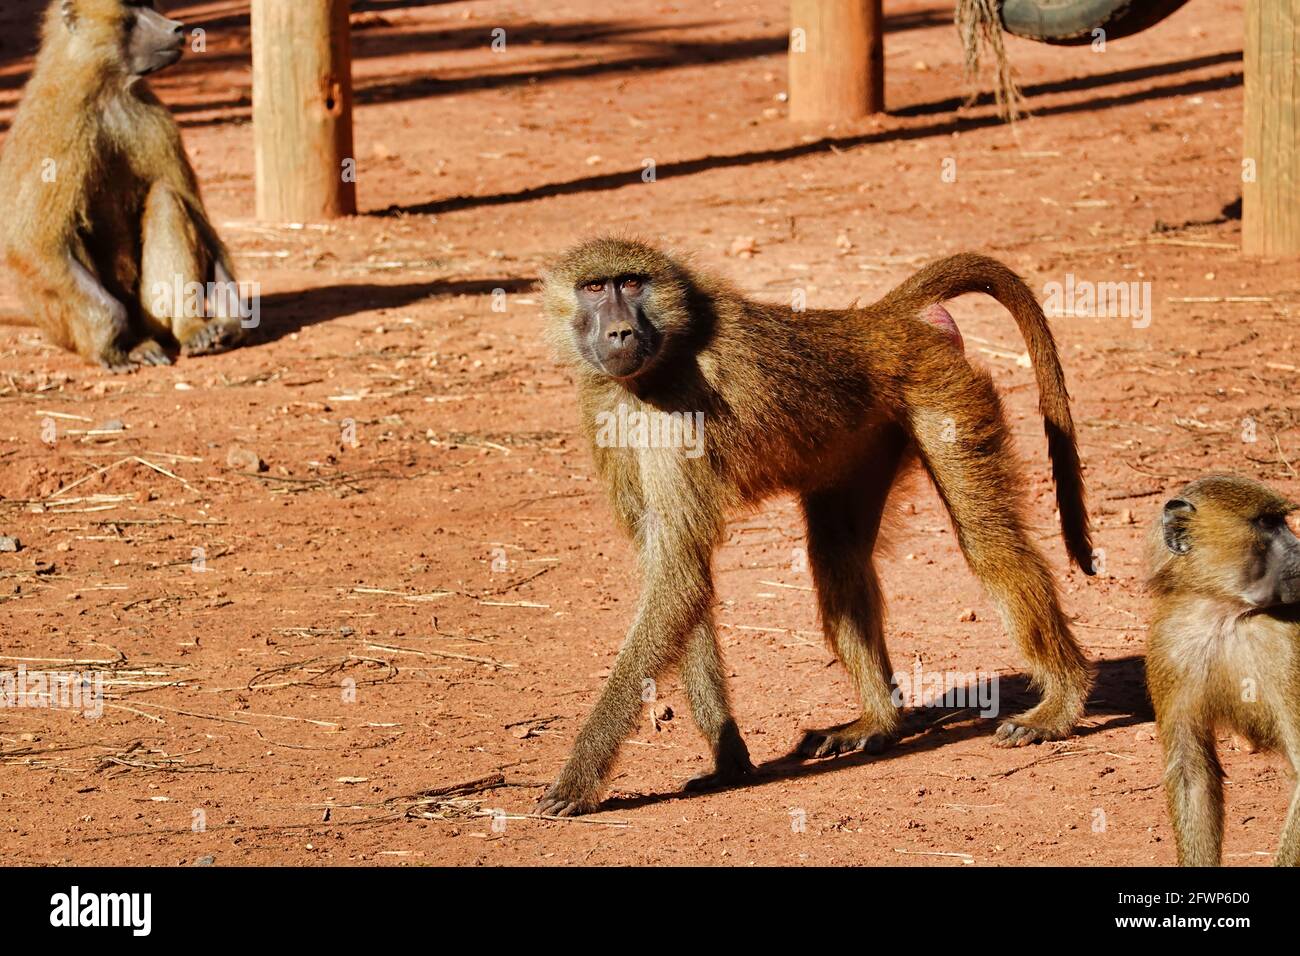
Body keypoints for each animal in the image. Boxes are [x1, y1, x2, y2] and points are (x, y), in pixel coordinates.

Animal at [0, 0, 246, 371]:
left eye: (149, 5)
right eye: (131, 10)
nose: (176, 27)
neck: (106, 88)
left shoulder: (155, 119)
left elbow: (202, 224)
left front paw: (231, 319)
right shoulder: (60, 127)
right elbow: (31, 243)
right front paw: (112, 343)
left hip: (149, 312)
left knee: (167, 198)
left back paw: (192, 330)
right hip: (62, 324)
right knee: (68, 235)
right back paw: (125, 345)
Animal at [536, 236, 1095, 816]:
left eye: (631, 283)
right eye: (594, 287)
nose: (620, 332)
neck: (660, 362)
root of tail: (878, 320)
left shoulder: (676, 412)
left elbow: (679, 577)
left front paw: (578, 779)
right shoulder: (606, 409)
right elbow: (677, 576)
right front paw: (728, 759)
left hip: (942, 392)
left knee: (991, 547)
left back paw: (1059, 706)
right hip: (863, 443)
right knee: (837, 558)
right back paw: (878, 723)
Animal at [1146, 475, 1300, 866]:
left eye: (1280, 521)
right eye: (1267, 523)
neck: (1225, 613)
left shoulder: (1287, 643)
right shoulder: (1168, 643)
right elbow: (1191, 772)